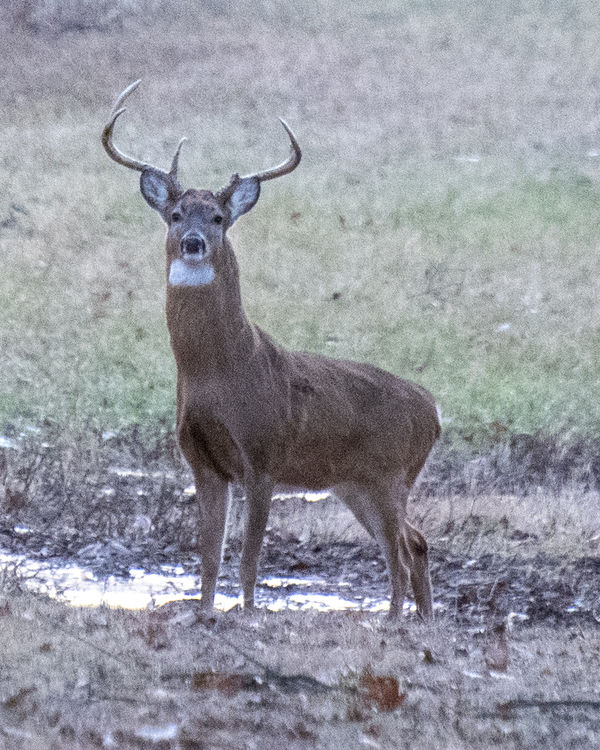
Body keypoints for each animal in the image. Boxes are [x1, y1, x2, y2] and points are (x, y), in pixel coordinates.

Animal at [101, 81, 441, 620]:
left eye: (218, 217)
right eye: (174, 215)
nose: (193, 242)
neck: (219, 373)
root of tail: (434, 410)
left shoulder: (263, 453)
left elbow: (249, 556)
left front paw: (246, 613)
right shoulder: (202, 462)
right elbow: (209, 555)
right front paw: (204, 612)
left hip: (391, 473)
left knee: (405, 549)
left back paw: (392, 622)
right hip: (355, 483)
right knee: (415, 542)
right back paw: (418, 621)